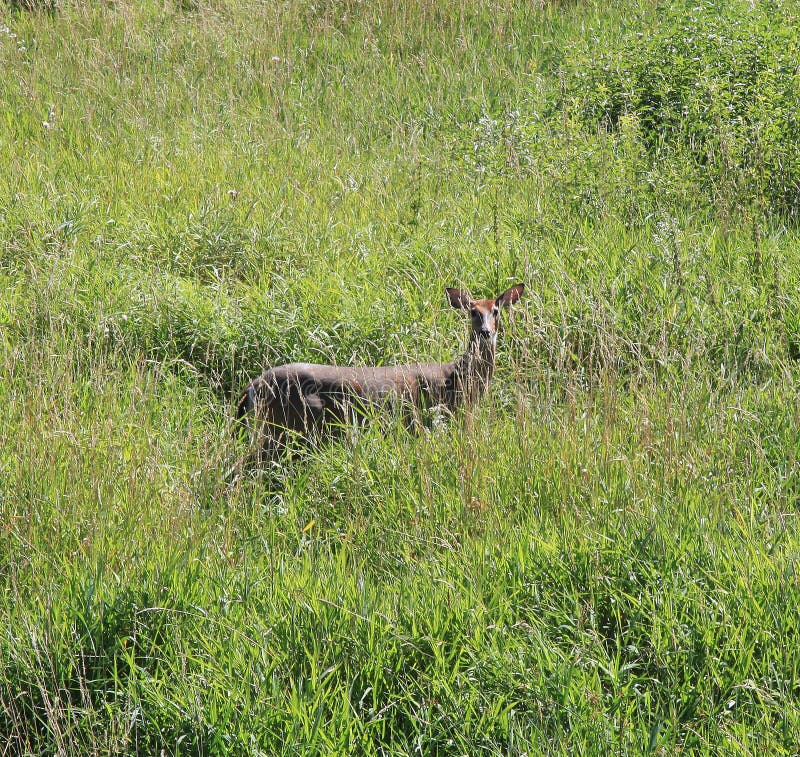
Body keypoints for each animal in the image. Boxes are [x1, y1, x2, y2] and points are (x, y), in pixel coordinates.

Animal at [235, 283, 524, 463]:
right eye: (473, 312)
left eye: (496, 310)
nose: (486, 332)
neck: (458, 376)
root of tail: (252, 385)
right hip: (288, 426)